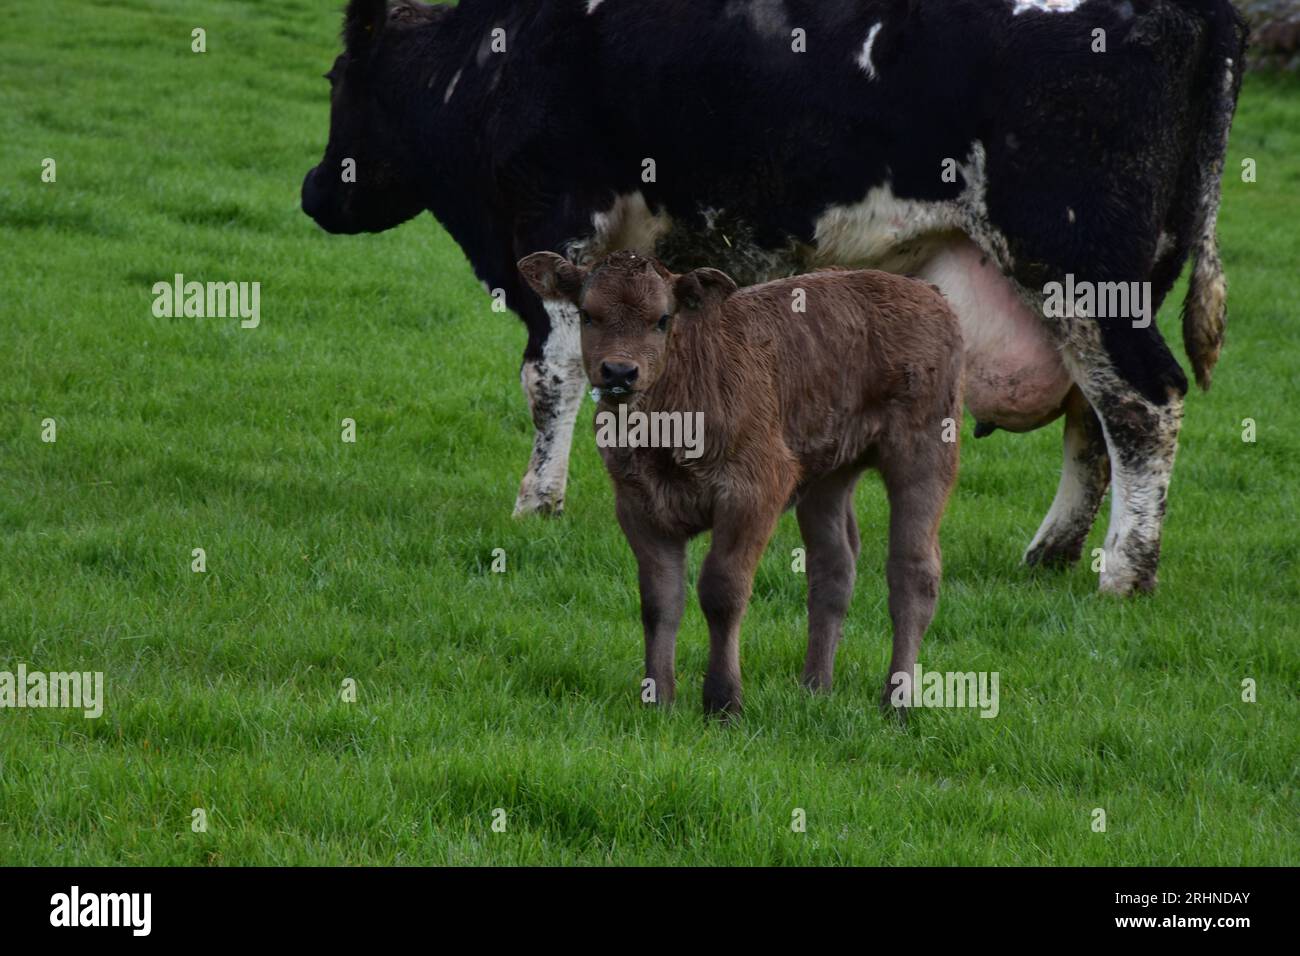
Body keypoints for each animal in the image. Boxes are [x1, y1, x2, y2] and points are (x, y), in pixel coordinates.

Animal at [301, 0, 1248, 596]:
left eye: (338, 76)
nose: (313, 192)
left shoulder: (556, 223)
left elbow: (554, 377)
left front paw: (540, 503)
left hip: (1080, 264)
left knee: (1143, 401)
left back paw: (1124, 571)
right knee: (1095, 415)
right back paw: (1052, 554)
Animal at [518, 250, 963, 714]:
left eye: (662, 319)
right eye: (588, 314)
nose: (620, 371)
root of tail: (926, 291)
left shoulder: (754, 492)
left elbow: (722, 590)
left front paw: (723, 700)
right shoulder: (638, 506)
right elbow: (660, 598)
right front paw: (657, 697)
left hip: (925, 453)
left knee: (913, 572)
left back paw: (898, 701)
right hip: (829, 473)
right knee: (833, 567)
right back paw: (815, 687)